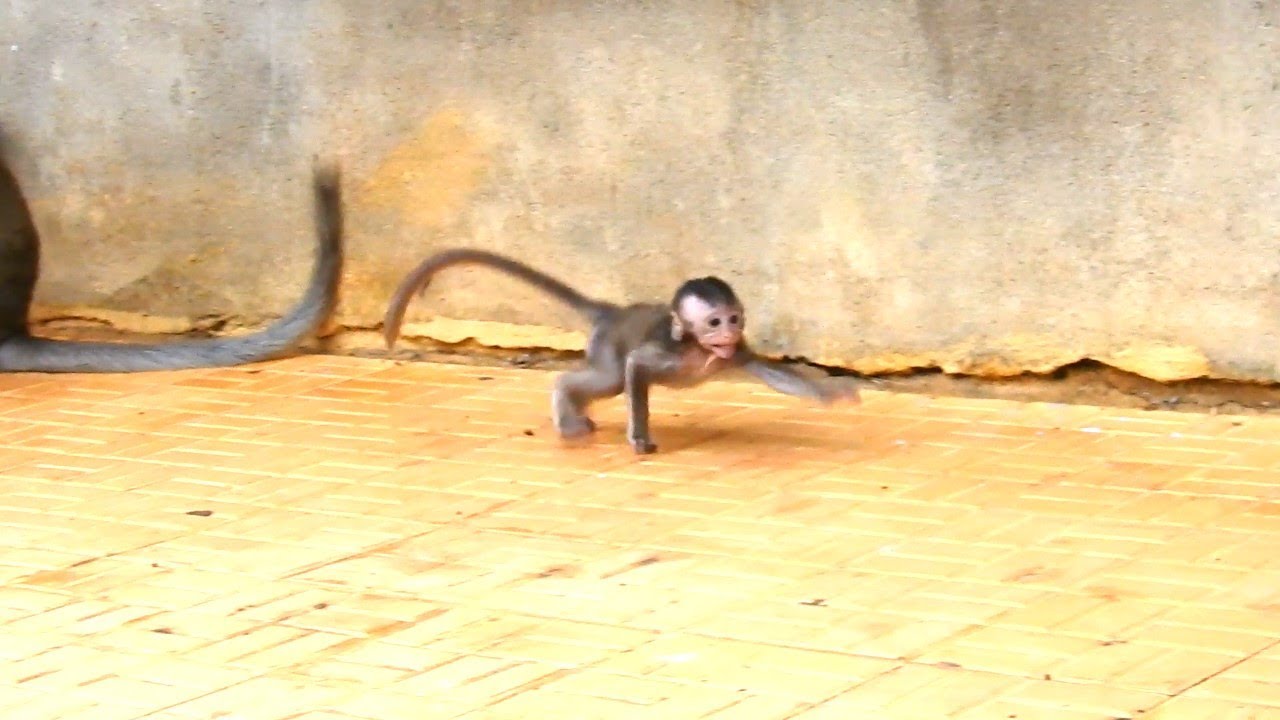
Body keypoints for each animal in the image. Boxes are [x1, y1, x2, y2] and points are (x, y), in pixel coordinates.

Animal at [382, 249, 859, 454]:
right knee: (608, 379)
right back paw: (567, 409)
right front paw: (640, 438)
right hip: (608, 347)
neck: (697, 349)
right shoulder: (664, 351)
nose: (727, 331)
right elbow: (636, 367)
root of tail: (614, 313)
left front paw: (833, 394)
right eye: (713, 322)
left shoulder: (736, 353)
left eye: (733, 319)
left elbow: (769, 372)